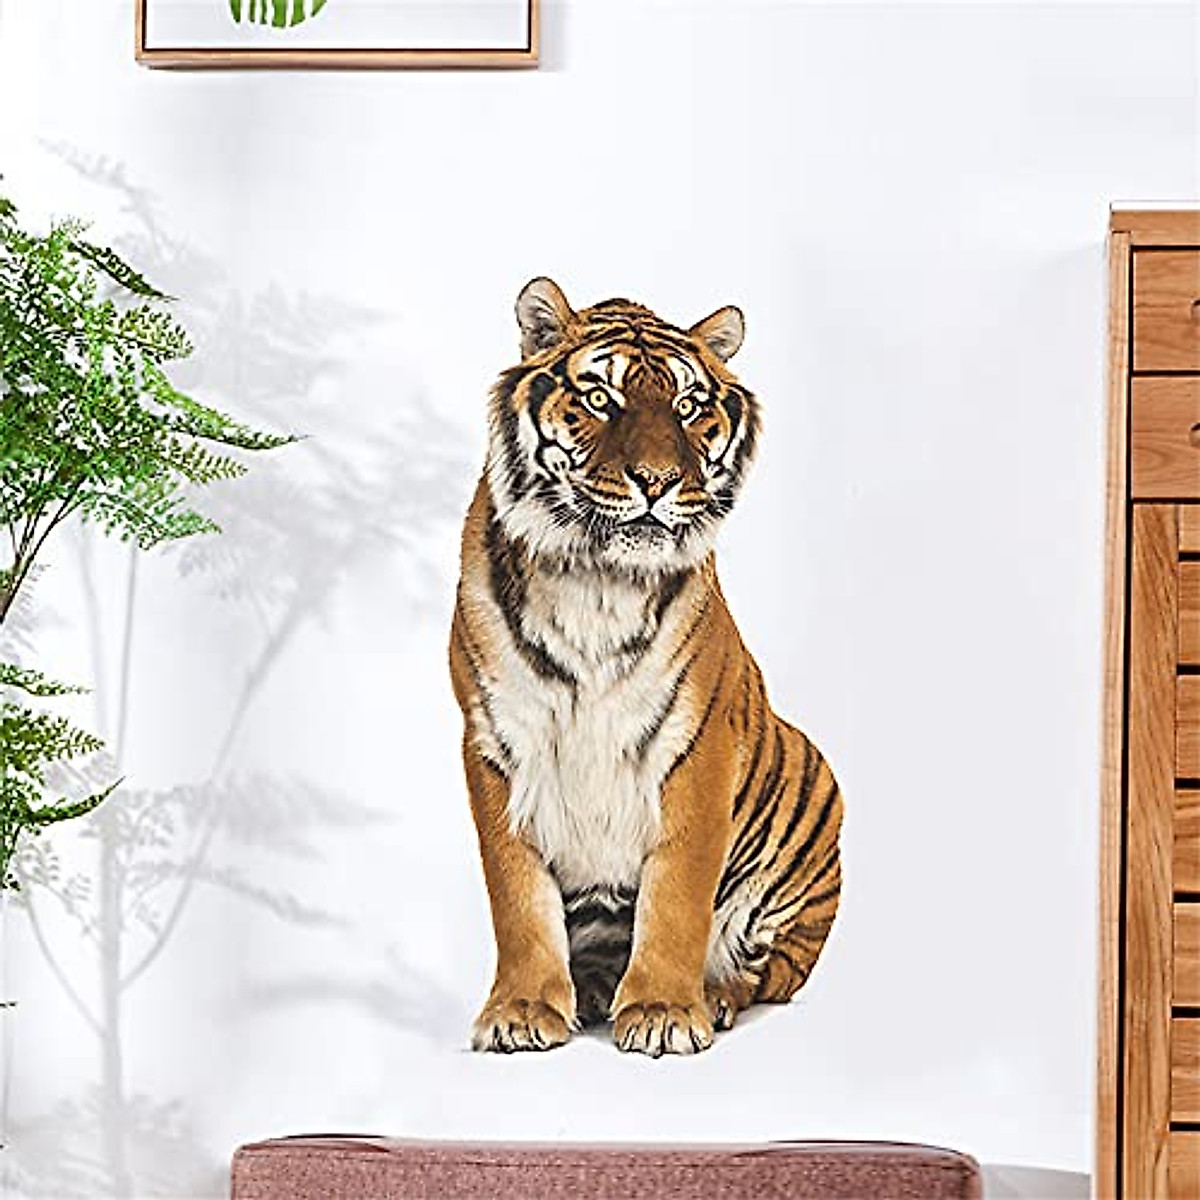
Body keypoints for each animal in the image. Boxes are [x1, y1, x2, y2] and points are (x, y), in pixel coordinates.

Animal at [449, 278, 842, 1057]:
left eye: (688, 406)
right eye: (602, 397)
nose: (657, 482)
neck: (595, 578)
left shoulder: (698, 746)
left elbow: (679, 892)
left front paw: (663, 1010)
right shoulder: (495, 740)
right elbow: (516, 894)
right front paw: (522, 1010)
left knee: (766, 971)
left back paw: (710, 994)